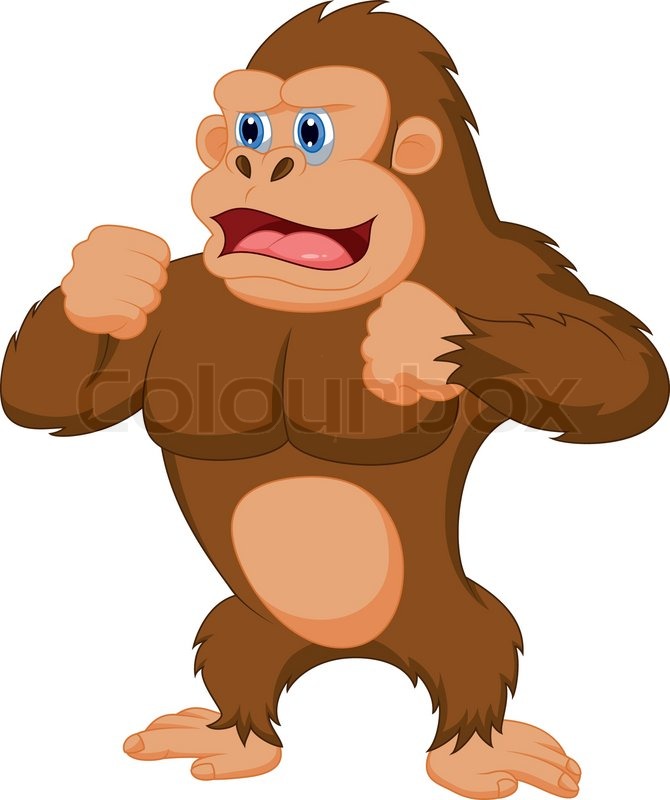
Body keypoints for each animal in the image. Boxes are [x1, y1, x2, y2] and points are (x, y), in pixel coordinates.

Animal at [1, 2, 667, 798]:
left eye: (312, 134)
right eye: (250, 129)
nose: (257, 163)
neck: (312, 302)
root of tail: (361, 648)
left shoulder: (504, 270)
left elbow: (620, 367)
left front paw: (424, 337)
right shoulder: (181, 295)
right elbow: (59, 397)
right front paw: (108, 277)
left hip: (448, 613)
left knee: (476, 649)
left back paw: (474, 753)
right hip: (254, 623)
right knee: (237, 653)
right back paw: (235, 740)